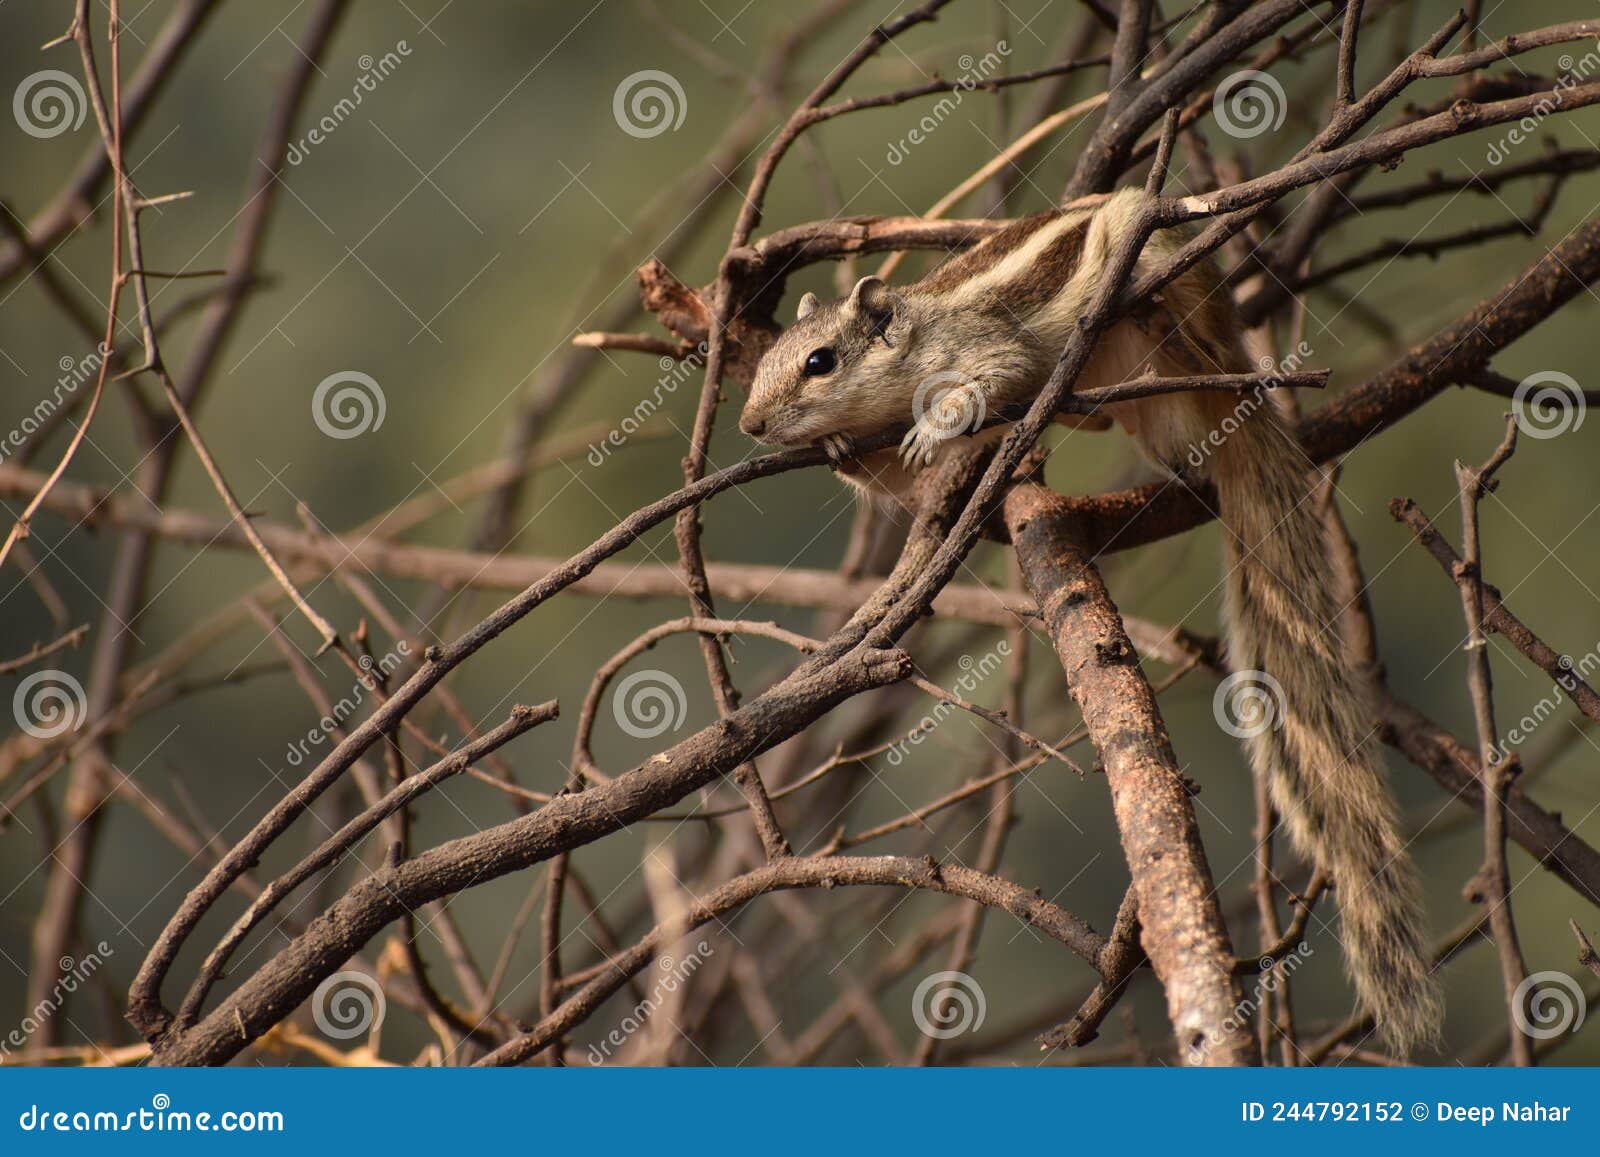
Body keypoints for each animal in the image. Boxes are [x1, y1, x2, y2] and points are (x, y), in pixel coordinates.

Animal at [739, 187, 1443, 1056]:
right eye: (768, 362)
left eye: (819, 361)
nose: (750, 424)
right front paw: (842, 443)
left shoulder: (984, 350)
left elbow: (987, 382)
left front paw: (934, 427)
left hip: (1168, 288)